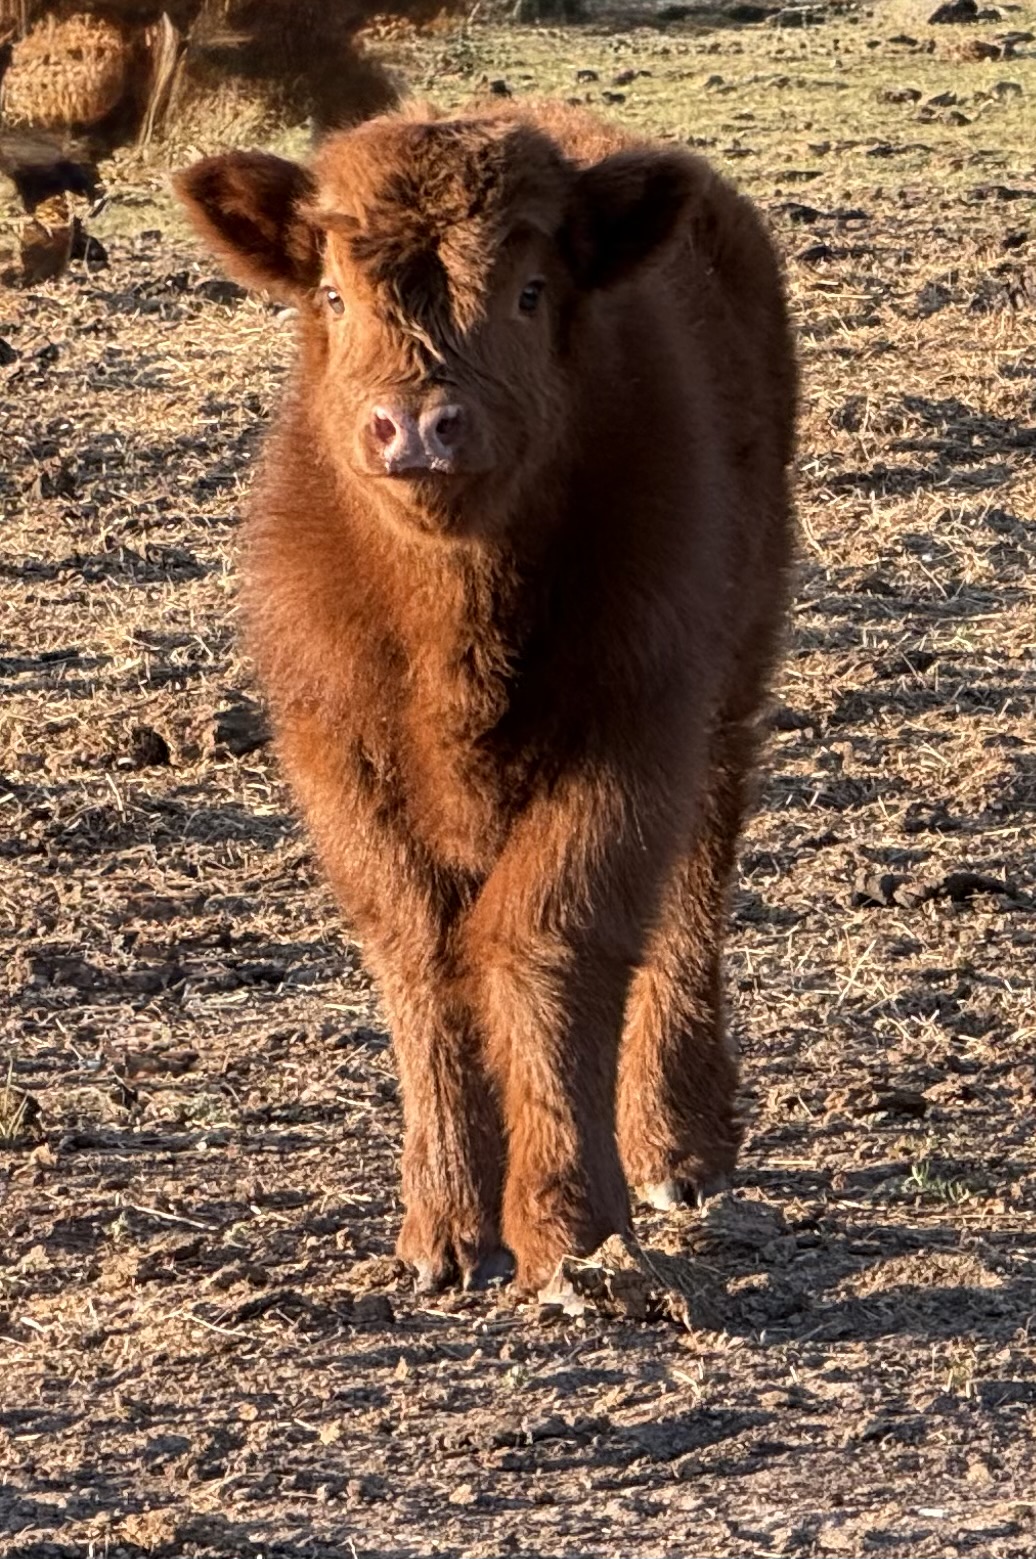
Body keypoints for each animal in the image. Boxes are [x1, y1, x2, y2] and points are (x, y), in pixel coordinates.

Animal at [175, 101, 797, 1294]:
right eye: (334, 295)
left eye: (528, 292)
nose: (417, 427)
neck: (455, 630)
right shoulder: (339, 753)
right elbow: (420, 951)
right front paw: (449, 1226)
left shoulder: (629, 728)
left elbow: (549, 938)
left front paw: (572, 1225)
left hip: (730, 674)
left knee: (695, 882)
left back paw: (678, 1138)